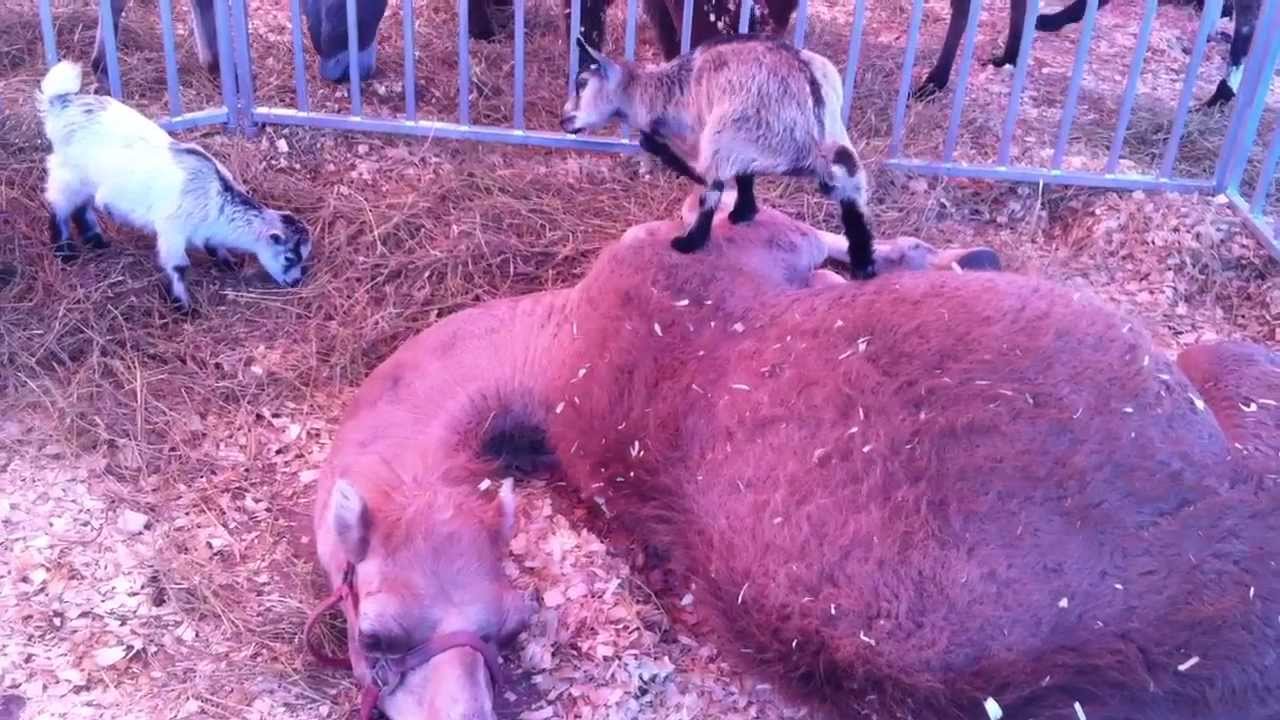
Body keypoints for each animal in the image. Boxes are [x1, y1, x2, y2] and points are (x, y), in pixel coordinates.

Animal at [38, 61, 313, 313]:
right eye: (289, 257)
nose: (295, 282)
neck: (215, 199)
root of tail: (62, 103)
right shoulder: (172, 230)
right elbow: (178, 266)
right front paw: (183, 305)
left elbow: (213, 244)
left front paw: (227, 261)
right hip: (68, 174)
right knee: (60, 206)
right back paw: (65, 252)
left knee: (82, 206)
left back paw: (95, 241)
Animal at [560, 36, 876, 279]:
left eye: (582, 83)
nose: (564, 122)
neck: (655, 93)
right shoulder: (743, 148)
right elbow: (746, 175)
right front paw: (745, 211)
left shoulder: (707, 134)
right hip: (826, 136)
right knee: (850, 184)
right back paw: (864, 262)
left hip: (727, 130)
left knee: (712, 187)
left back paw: (690, 242)